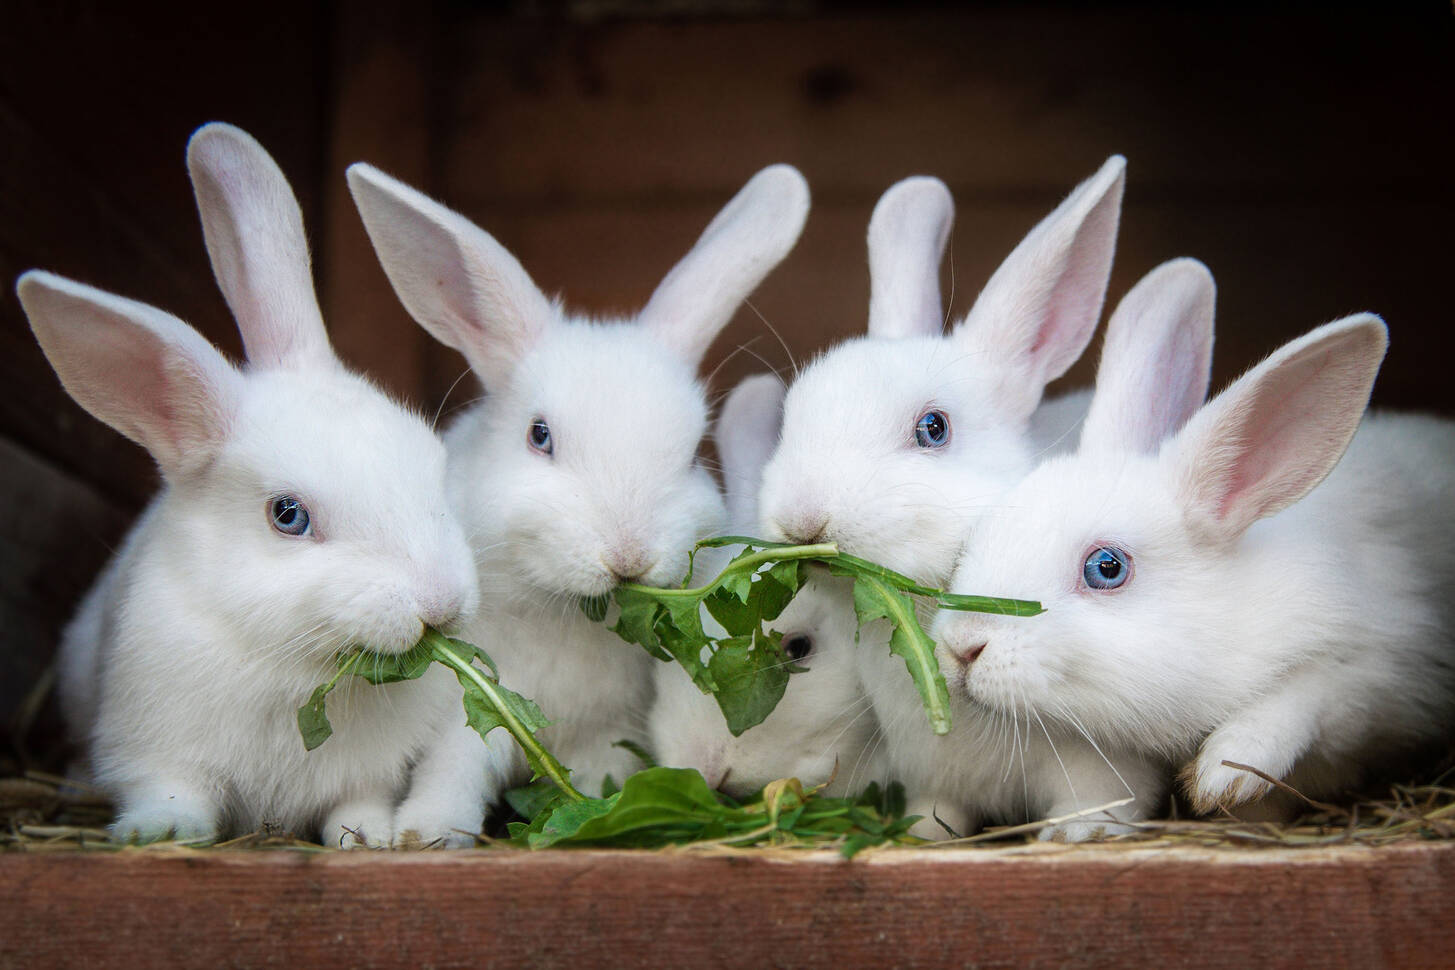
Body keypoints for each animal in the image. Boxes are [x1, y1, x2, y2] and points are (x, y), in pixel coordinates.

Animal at [20, 123, 481, 847]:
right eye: (287, 515)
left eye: (431, 464)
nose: (440, 601)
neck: (291, 666)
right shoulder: (156, 750)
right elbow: (172, 792)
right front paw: (157, 833)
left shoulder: (367, 777)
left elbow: (357, 805)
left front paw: (370, 839)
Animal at [346, 161, 811, 816]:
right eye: (539, 436)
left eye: (694, 452)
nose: (628, 556)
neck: (567, 613)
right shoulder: (471, 714)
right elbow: (454, 770)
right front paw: (426, 827)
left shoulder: (607, 738)